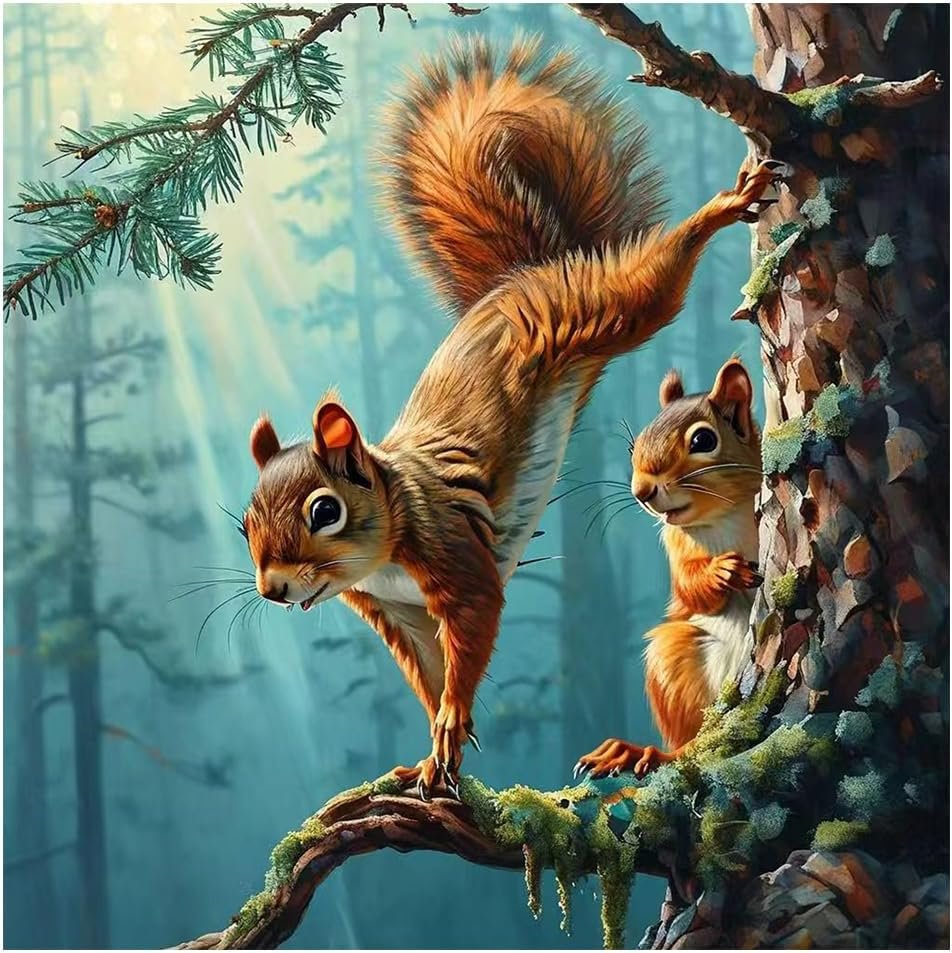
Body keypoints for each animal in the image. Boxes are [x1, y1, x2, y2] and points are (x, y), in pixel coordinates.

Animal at [574, 358, 763, 780]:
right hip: (671, 656)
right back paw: (640, 754)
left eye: (703, 441)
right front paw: (723, 573)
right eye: (635, 444)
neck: (723, 514)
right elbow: (690, 590)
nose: (641, 492)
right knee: (689, 743)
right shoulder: (676, 547)